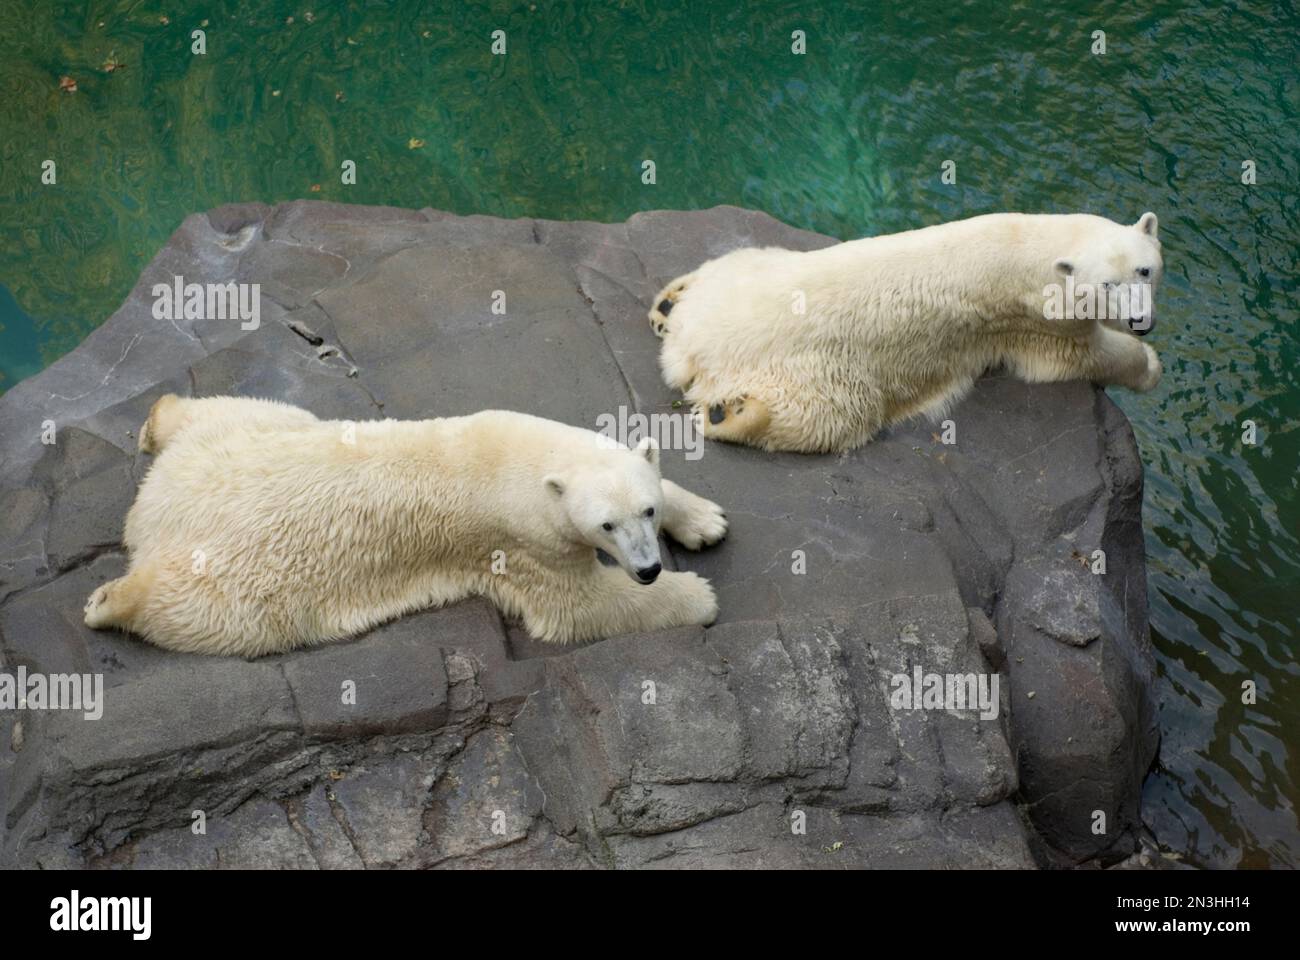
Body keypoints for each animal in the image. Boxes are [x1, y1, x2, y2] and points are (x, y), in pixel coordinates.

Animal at [83, 395, 728, 655]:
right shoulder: (521, 544)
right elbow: (578, 607)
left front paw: (706, 519)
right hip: (236, 581)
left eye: (645, 512)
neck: (506, 459)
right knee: (194, 609)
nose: (648, 569)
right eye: (605, 527)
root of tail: (155, 510)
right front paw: (697, 595)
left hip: (247, 433)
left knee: (221, 409)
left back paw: (157, 420)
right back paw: (107, 599)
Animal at [648, 212, 1165, 453]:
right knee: (829, 415)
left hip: (751, 270)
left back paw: (668, 304)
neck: (1031, 243)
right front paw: (1150, 366)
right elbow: (1076, 355)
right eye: (1107, 285)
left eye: (1145, 269)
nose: (1142, 321)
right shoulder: (1036, 316)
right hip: (817, 368)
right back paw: (732, 414)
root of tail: (691, 349)